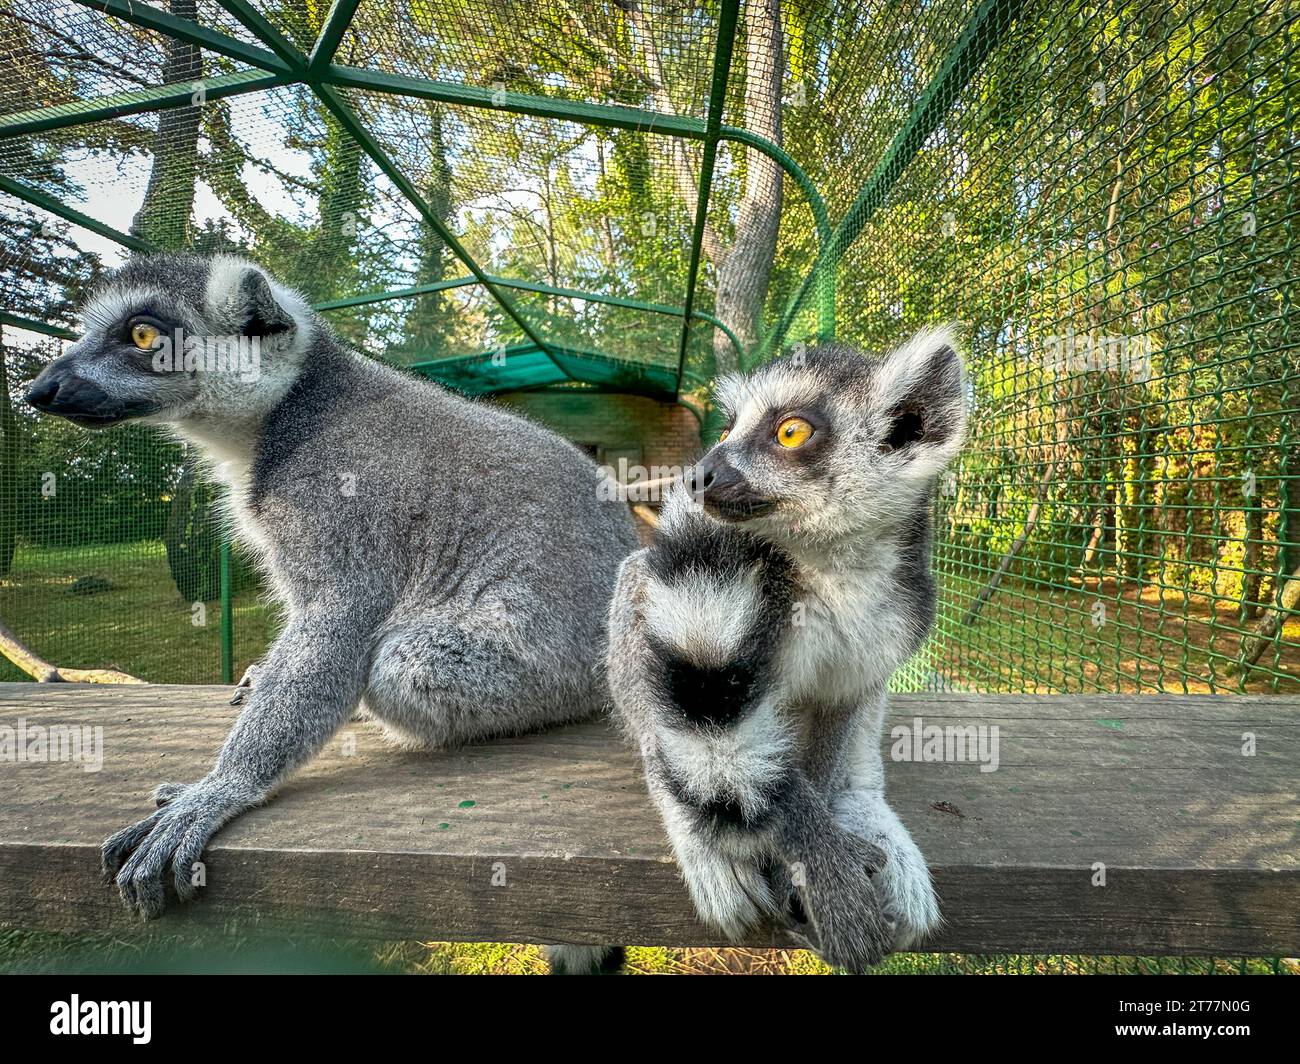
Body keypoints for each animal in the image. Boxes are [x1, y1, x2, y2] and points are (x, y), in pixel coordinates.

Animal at [25, 253, 639, 920]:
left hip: (546, 670)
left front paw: (224, 788)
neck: (289, 414)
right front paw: (258, 683)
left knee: (400, 666)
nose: (40, 390)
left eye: (141, 335)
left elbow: (340, 623)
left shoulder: (341, 503)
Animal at [563, 328, 968, 974]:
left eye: (791, 431)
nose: (699, 475)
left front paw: (829, 827)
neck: (835, 571)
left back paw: (862, 806)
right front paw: (816, 857)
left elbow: (843, 706)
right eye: (728, 427)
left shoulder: (897, 615)